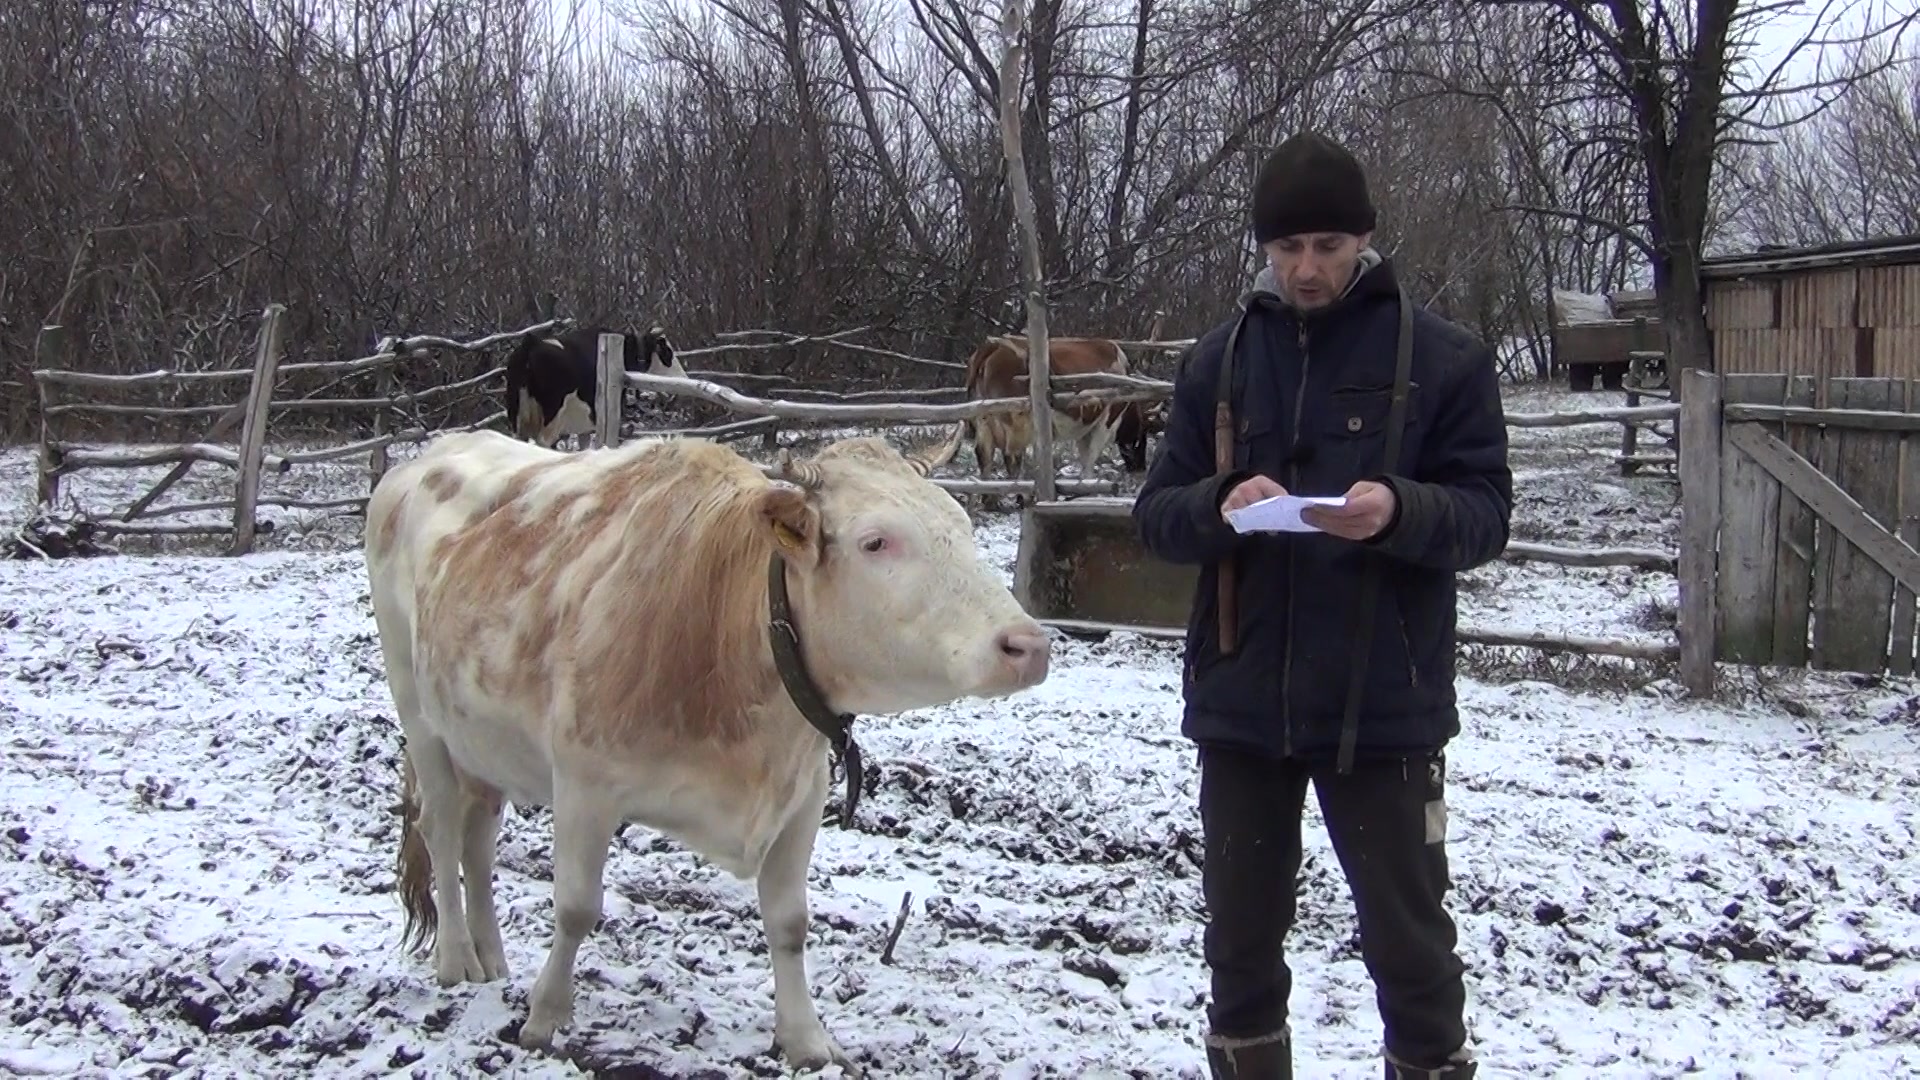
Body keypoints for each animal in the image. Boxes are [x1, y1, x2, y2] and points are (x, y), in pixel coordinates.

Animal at [360, 418, 1052, 1068]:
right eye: (876, 541)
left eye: (961, 526)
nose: (1027, 645)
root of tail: (428, 455)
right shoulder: (584, 783)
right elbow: (576, 907)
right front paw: (545, 1020)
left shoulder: (802, 798)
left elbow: (790, 923)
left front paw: (805, 1038)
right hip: (418, 711)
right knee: (442, 827)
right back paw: (457, 958)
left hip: (481, 737)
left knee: (478, 842)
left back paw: (492, 956)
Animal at [967, 332, 1144, 474]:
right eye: (1140, 438)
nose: (1140, 468)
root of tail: (995, 344)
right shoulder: (1106, 423)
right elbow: (1089, 459)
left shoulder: (1083, 429)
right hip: (1016, 422)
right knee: (1012, 455)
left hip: (984, 418)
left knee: (984, 454)